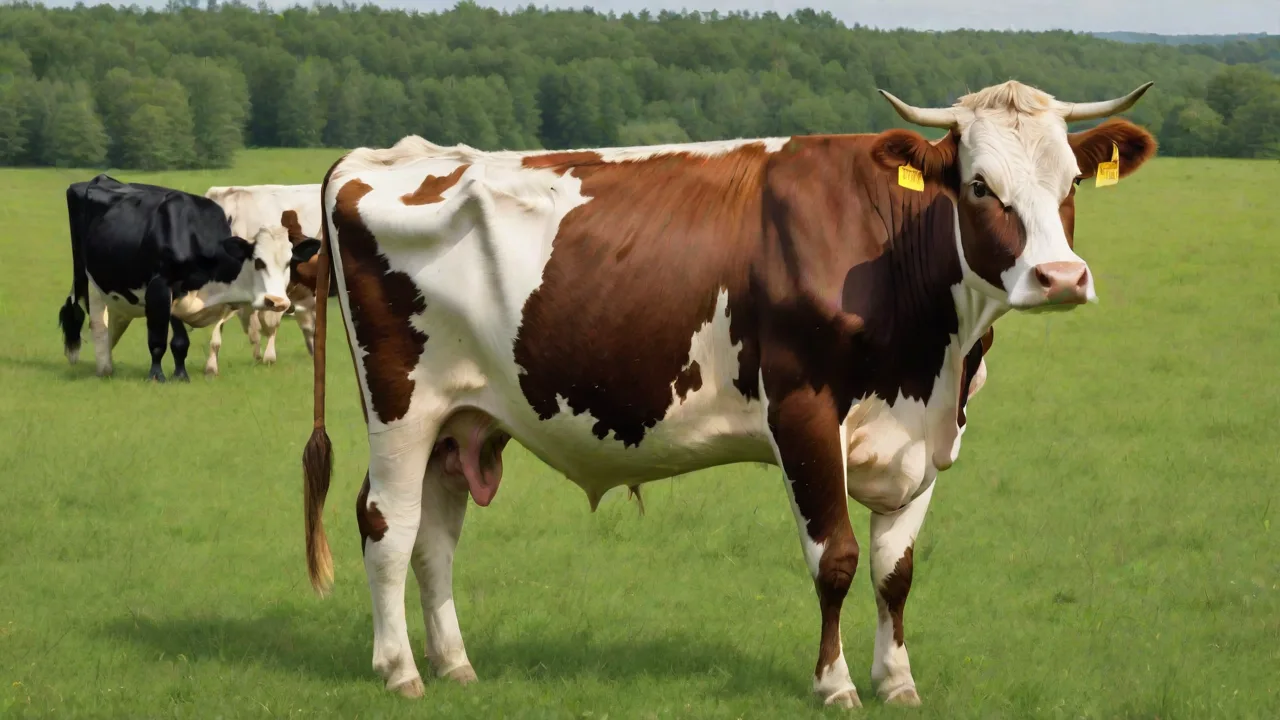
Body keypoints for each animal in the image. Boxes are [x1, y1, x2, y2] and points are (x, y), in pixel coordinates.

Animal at [298, 80, 1157, 707]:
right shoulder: (803, 410)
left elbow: (895, 570)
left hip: (462, 417)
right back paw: (401, 670)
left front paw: (898, 682)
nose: (1060, 278)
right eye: (980, 186)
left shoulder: (925, 434)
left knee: (437, 539)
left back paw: (454, 664)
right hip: (401, 406)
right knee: (387, 523)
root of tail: (381, 158)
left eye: (1072, 182)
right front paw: (836, 684)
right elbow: (837, 558)